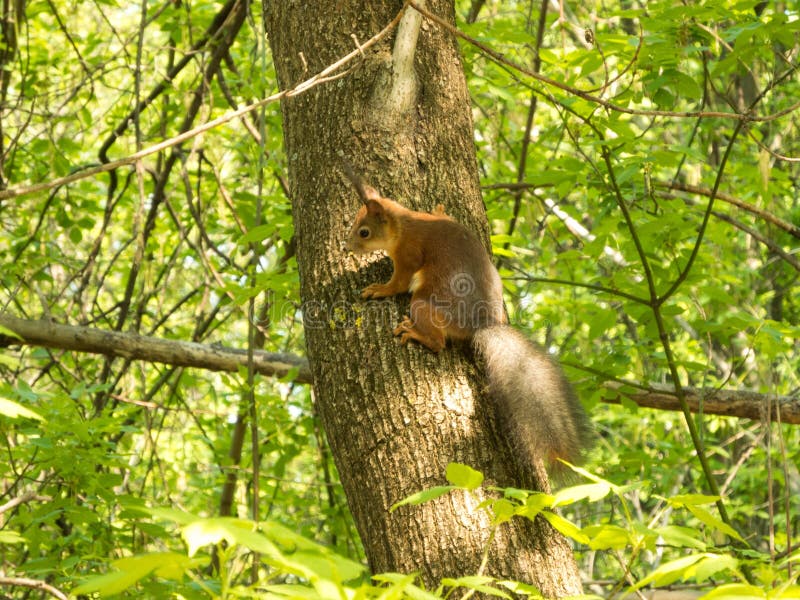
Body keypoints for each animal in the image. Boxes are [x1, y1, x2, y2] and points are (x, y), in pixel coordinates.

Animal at [344, 169, 592, 481]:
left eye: (363, 231)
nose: (346, 247)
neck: (405, 223)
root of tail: (484, 325)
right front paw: (440, 209)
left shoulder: (408, 254)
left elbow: (398, 283)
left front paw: (379, 289)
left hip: (423, 305)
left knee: (437, 341)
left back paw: (416, 334)